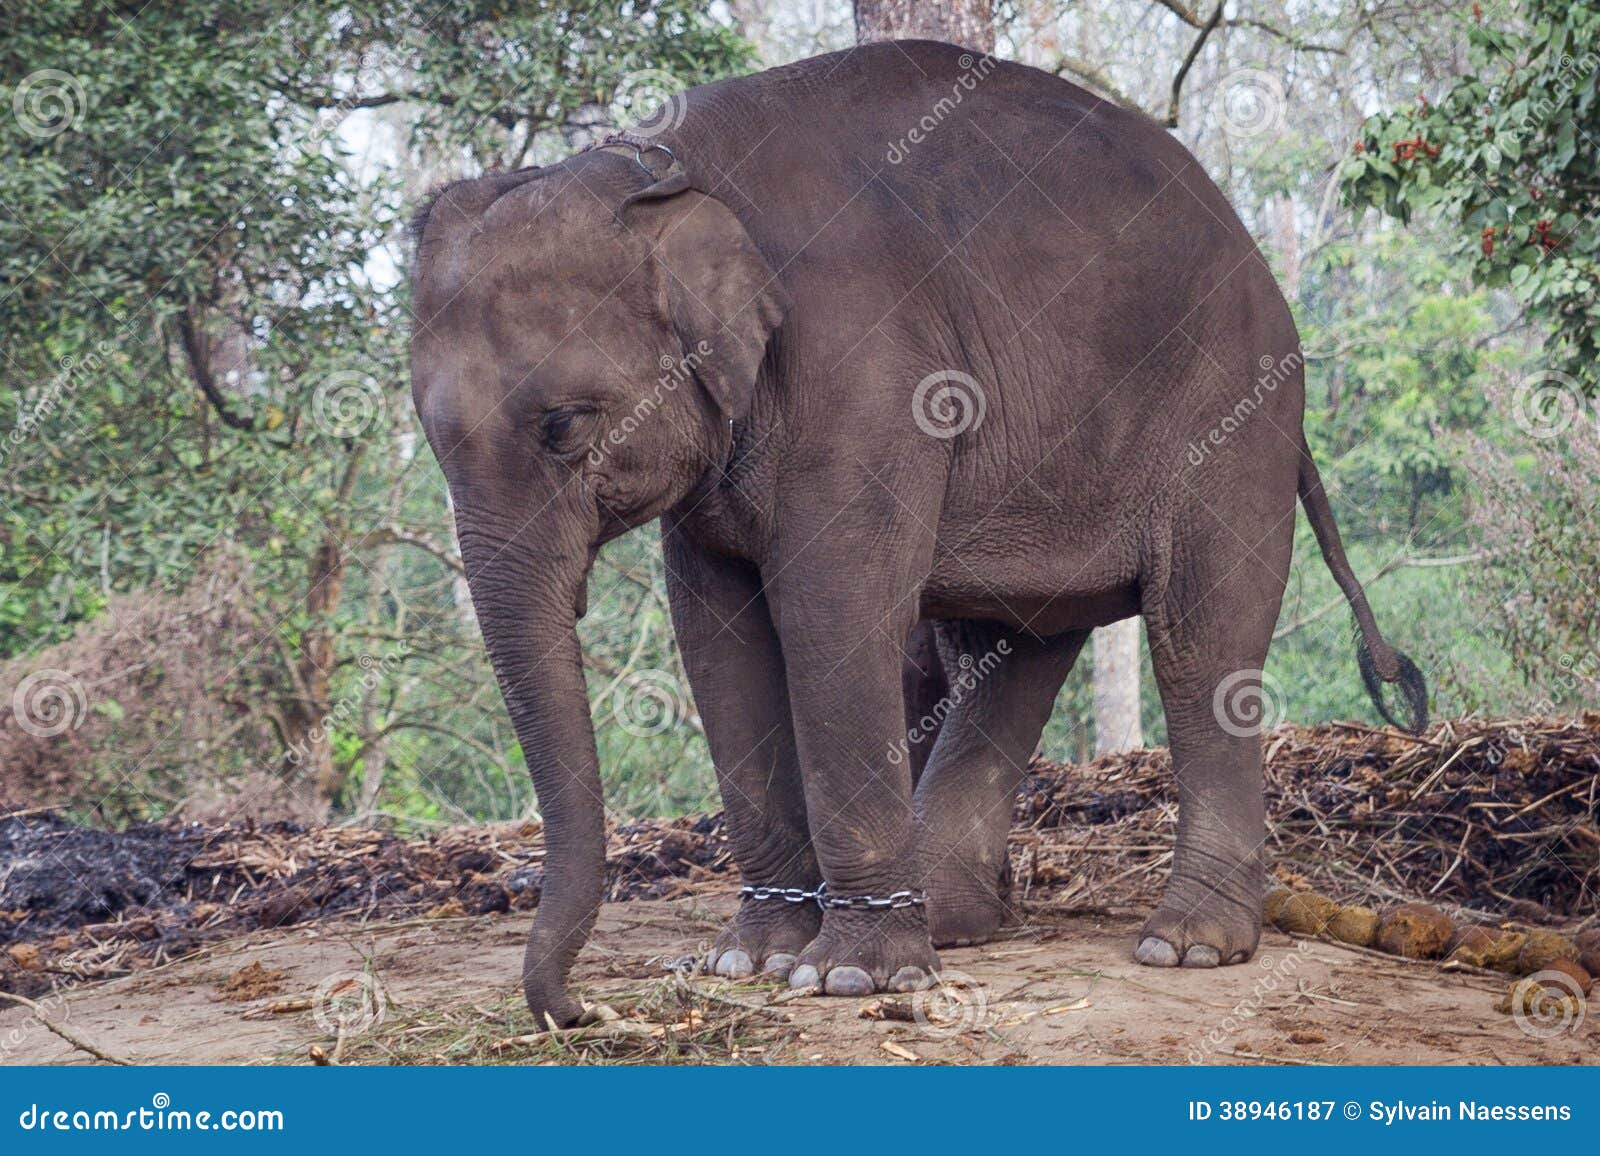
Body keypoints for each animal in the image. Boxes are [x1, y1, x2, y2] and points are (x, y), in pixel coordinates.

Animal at [408, 40, 1427, 1027]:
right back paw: (951, 922)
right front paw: (754, 960)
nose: (579, 1011)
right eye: (428, 435)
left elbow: (833, 612)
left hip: (1231, 419)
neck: (659, 166)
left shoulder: (867, 372)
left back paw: (1188, 946)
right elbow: (718, 635)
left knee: (1198, 641)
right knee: (1019, 649)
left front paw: (850, 976)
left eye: (564, 426)